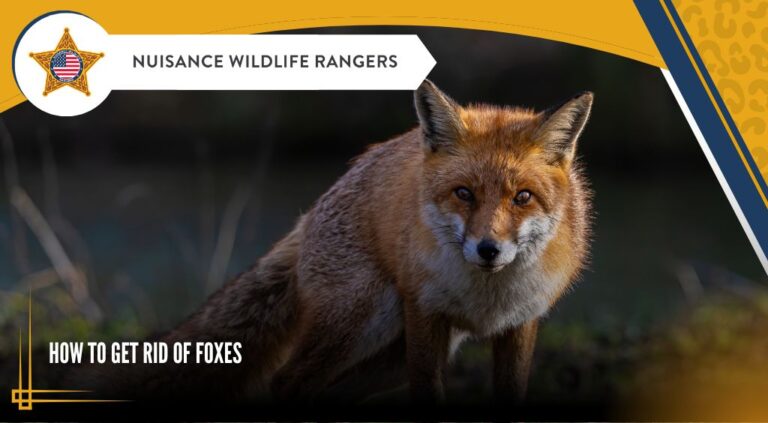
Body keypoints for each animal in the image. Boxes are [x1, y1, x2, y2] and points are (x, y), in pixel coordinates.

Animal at [84, 80, 593, 405]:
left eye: (522, 197)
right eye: (464, 193)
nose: (488, 250)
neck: (486, 300)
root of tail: (311, 212)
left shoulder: (520, 324)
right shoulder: (425, 315)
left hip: (386, 357)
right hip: (363, 320)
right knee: (287, 382)